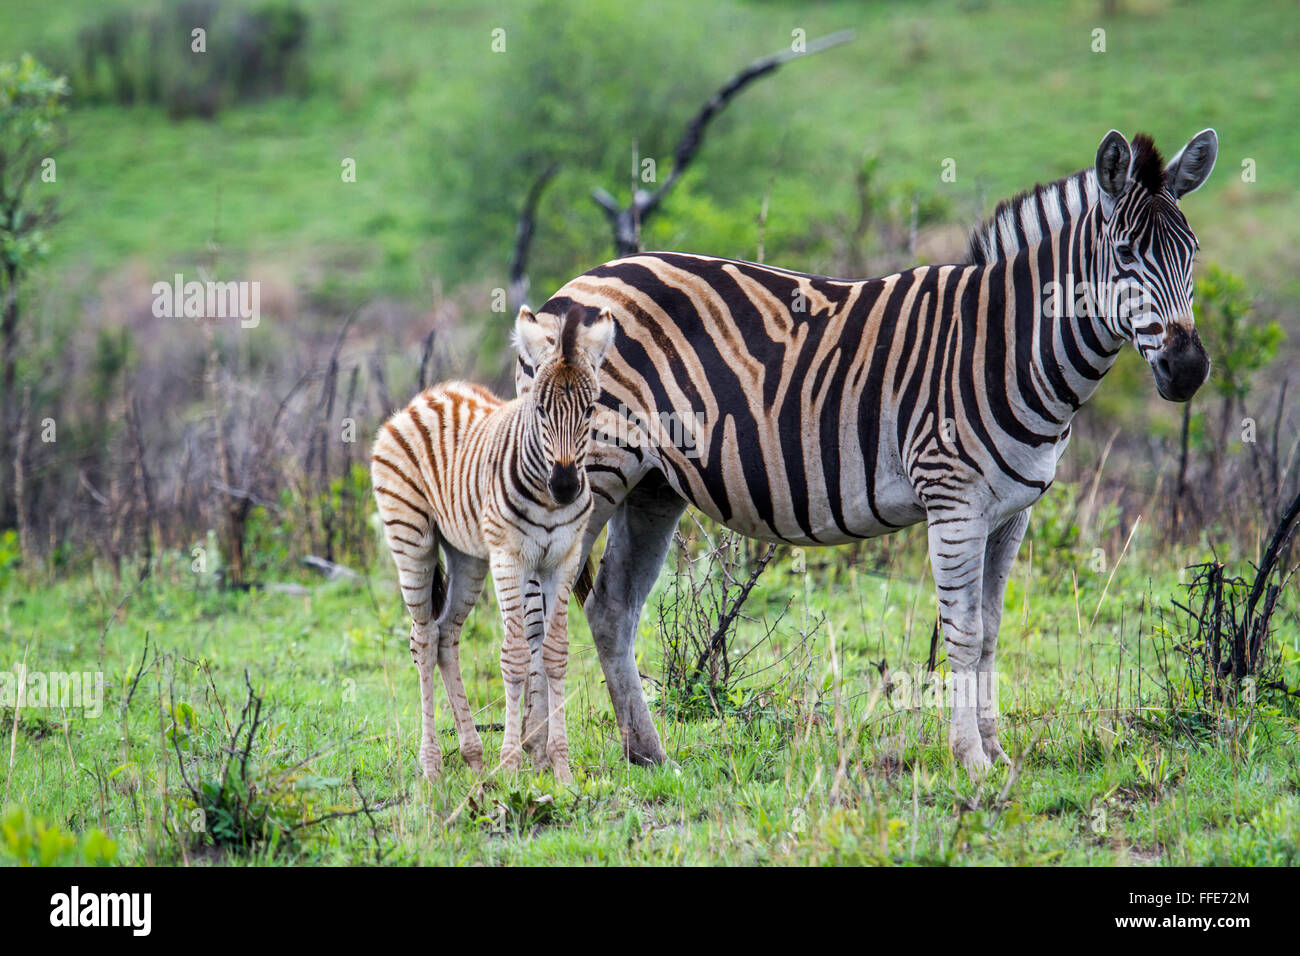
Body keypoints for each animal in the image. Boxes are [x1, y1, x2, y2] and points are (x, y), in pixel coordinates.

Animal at [371, 304, 615, 783]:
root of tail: (425, 397)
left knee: (445, 635)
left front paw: (561, 768)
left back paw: (472, 755)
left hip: (467, 557)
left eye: (591, 408)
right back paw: (431, 766)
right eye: (540, 408)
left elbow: (554, 653)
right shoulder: (510, 558)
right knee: (422, 639)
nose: (564, 487)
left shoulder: (564, 558)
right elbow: (517, 655)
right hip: (411, 539)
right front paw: (511, 764)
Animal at [516, 128, 1218, 773]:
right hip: (589, 475)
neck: (1009, 345)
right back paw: (542, 761)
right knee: (539, 608)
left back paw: (648, 754)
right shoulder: (954, 501)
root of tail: (574, 285)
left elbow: (992, 632)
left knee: (609, 609)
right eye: (1124, 254)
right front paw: (970, 760)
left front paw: (996, 752)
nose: (1188, 371)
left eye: (1193, 252)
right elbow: (963, 635)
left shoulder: (1013, 513)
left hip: (651, 487)